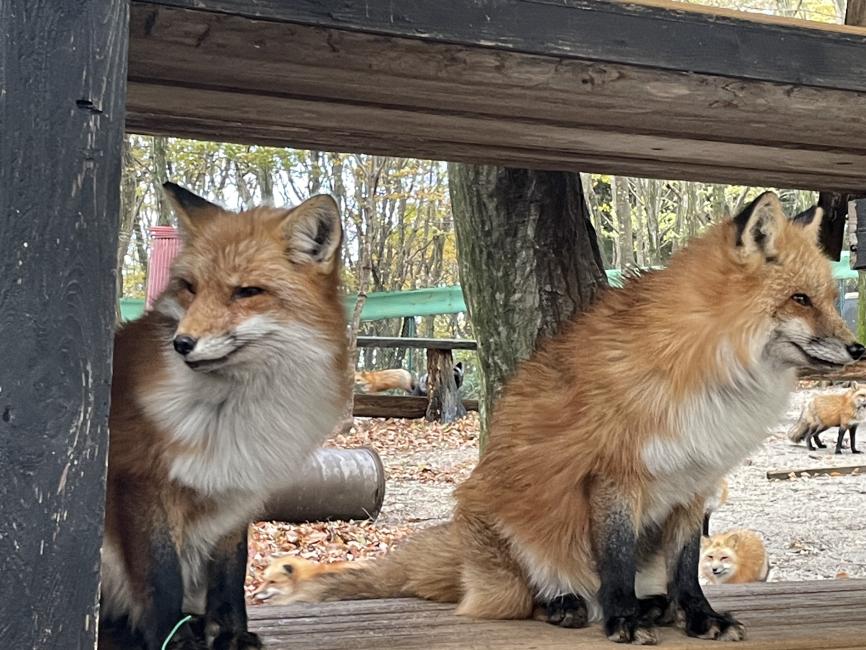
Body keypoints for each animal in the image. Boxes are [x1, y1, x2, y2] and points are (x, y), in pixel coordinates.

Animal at [98, 183, 350, 650]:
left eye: (246, 292)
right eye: (190, 288)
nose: (182, 343)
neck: (234, 413)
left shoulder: (238, 485)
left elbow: (230, 572)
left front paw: (231, 634)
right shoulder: (139, 478)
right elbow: (162, 579)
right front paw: (174, 640)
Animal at [280, 192, 863, 645]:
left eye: (830, 298)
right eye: (800, 299)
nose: (858, 347)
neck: (704, 374)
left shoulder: (695, 483)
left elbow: (687, 569)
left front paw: (699, 619)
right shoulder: (614, 474)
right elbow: (615, 561)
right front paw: (623, 621)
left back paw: (655, 607)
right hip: (513, 540)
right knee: (528, 599)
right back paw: (569, 606)